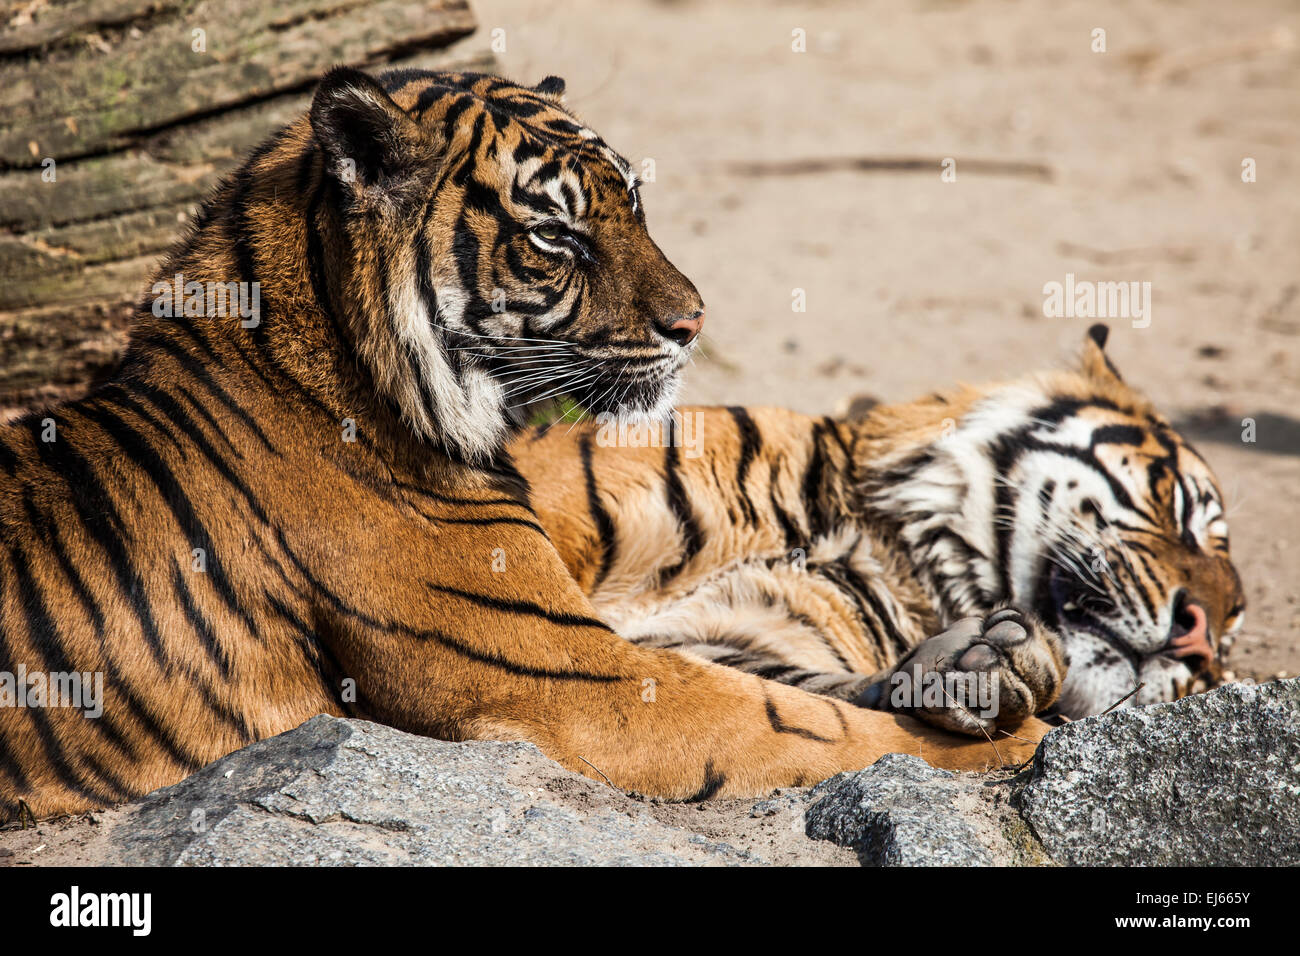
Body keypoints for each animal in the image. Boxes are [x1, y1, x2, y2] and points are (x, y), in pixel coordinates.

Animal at [0, 67, 1049, 824]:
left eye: (634, 204)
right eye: (554, 236)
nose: (694, 324)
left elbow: (781, 670)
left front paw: (975, 667)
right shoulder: (579, 684)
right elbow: (809, 721)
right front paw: (1010, 741)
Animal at [512, 324, 1246, 734]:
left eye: (1229, 638)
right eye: (1176, 503)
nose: (1199, 643)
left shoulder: (727, 634)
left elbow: (796, 686)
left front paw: (993, 669)